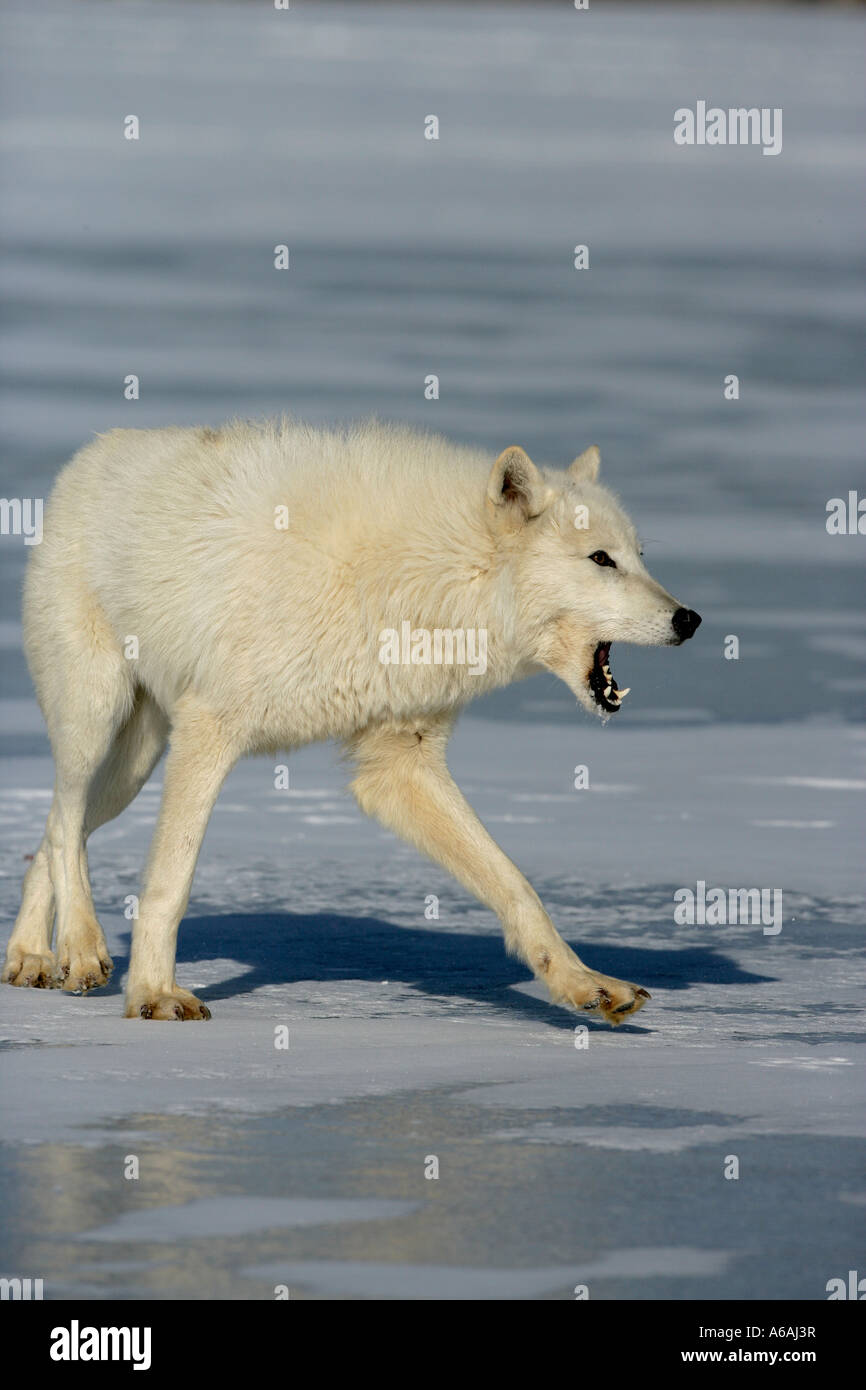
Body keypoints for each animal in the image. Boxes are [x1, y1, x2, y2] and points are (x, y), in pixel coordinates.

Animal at [2, 419, 700, 1024]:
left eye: (640, 556)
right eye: (601, 559)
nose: (690, 619)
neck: (430, 575)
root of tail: (92, 453)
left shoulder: (399, 763)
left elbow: (514, 884)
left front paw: (587, 985)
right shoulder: (210, 729)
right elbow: (170, 883)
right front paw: (154, 994)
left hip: (135, 763)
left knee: (53, 831)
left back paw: (32, 957)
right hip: (99, 719)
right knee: (65, 821)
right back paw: (80, 949)